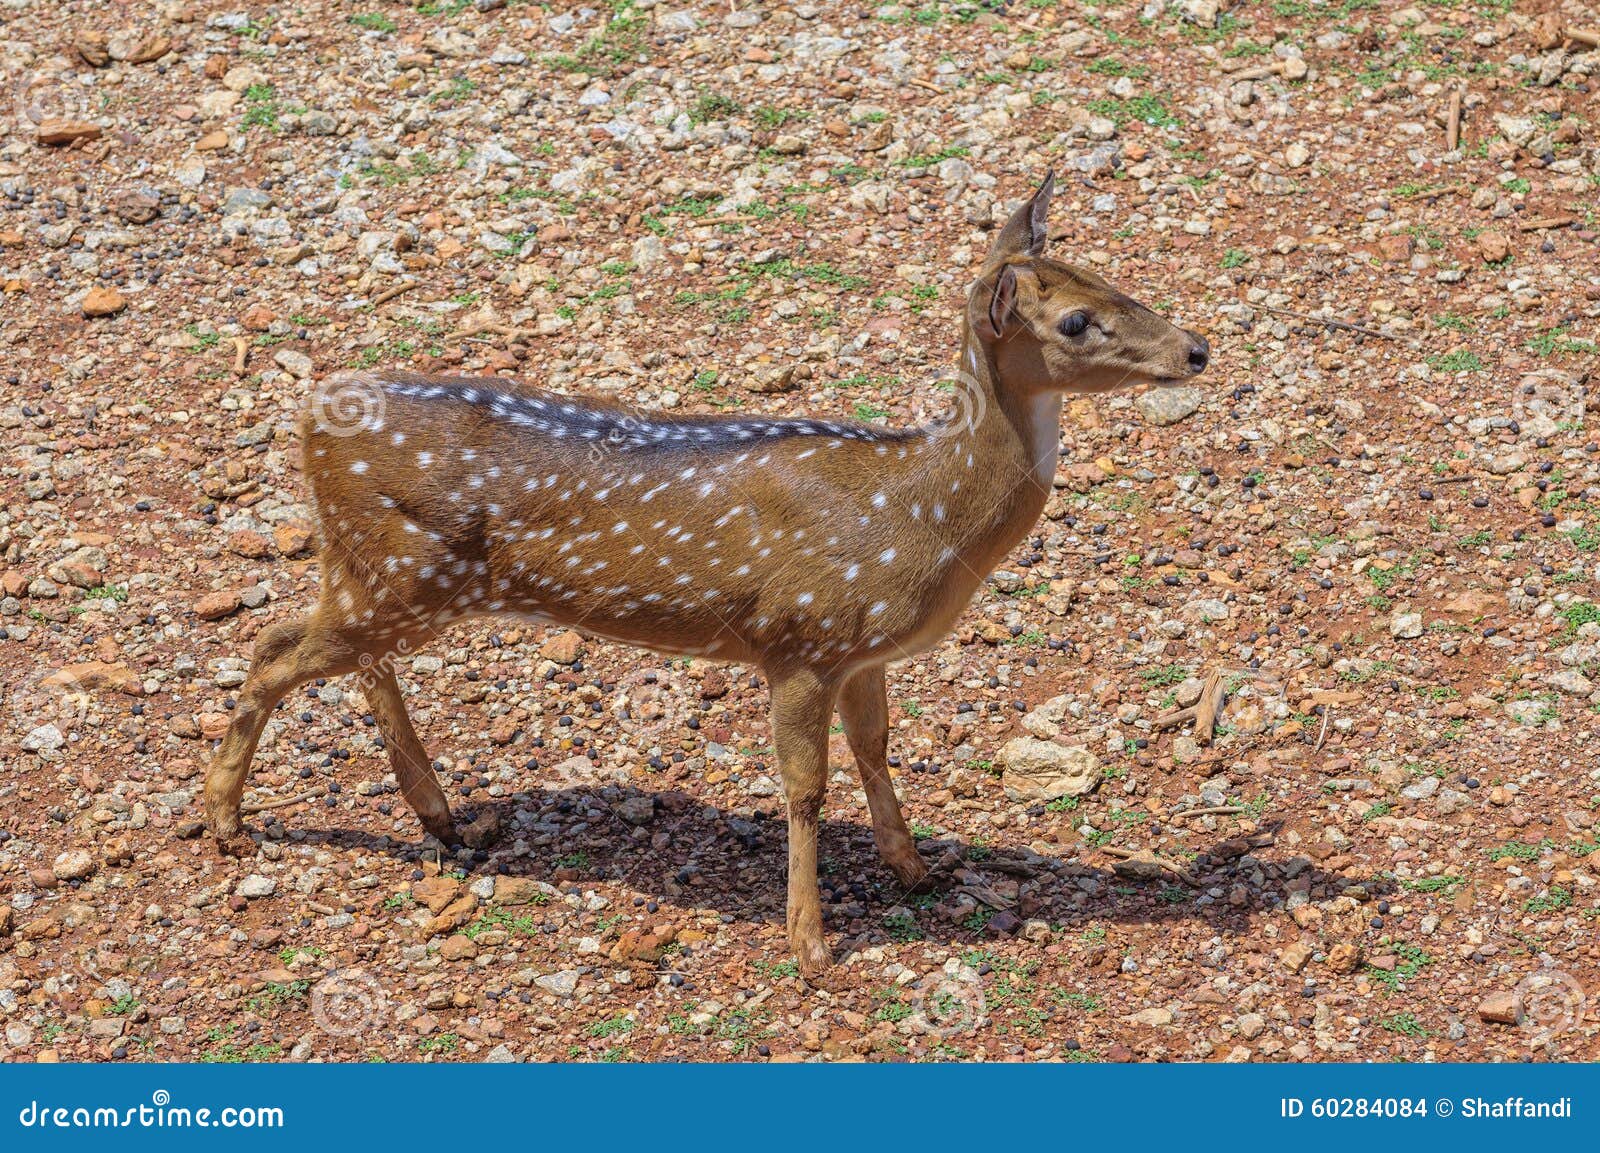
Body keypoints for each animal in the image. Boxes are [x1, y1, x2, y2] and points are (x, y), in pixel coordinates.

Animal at [203, 174, 1209, 979]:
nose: (1196, 348)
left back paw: (445, 818)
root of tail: (312, 412)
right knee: (269, 649)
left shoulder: (863, 653)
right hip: (400, 578)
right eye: (1074, 319)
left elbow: (877, 749)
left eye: (1108, 277)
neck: (917, 518)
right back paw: (224, 821)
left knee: (330, 655)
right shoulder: (799, 636)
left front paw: (916, 867)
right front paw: (811, 942)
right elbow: (805, 787)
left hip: (378, 574)